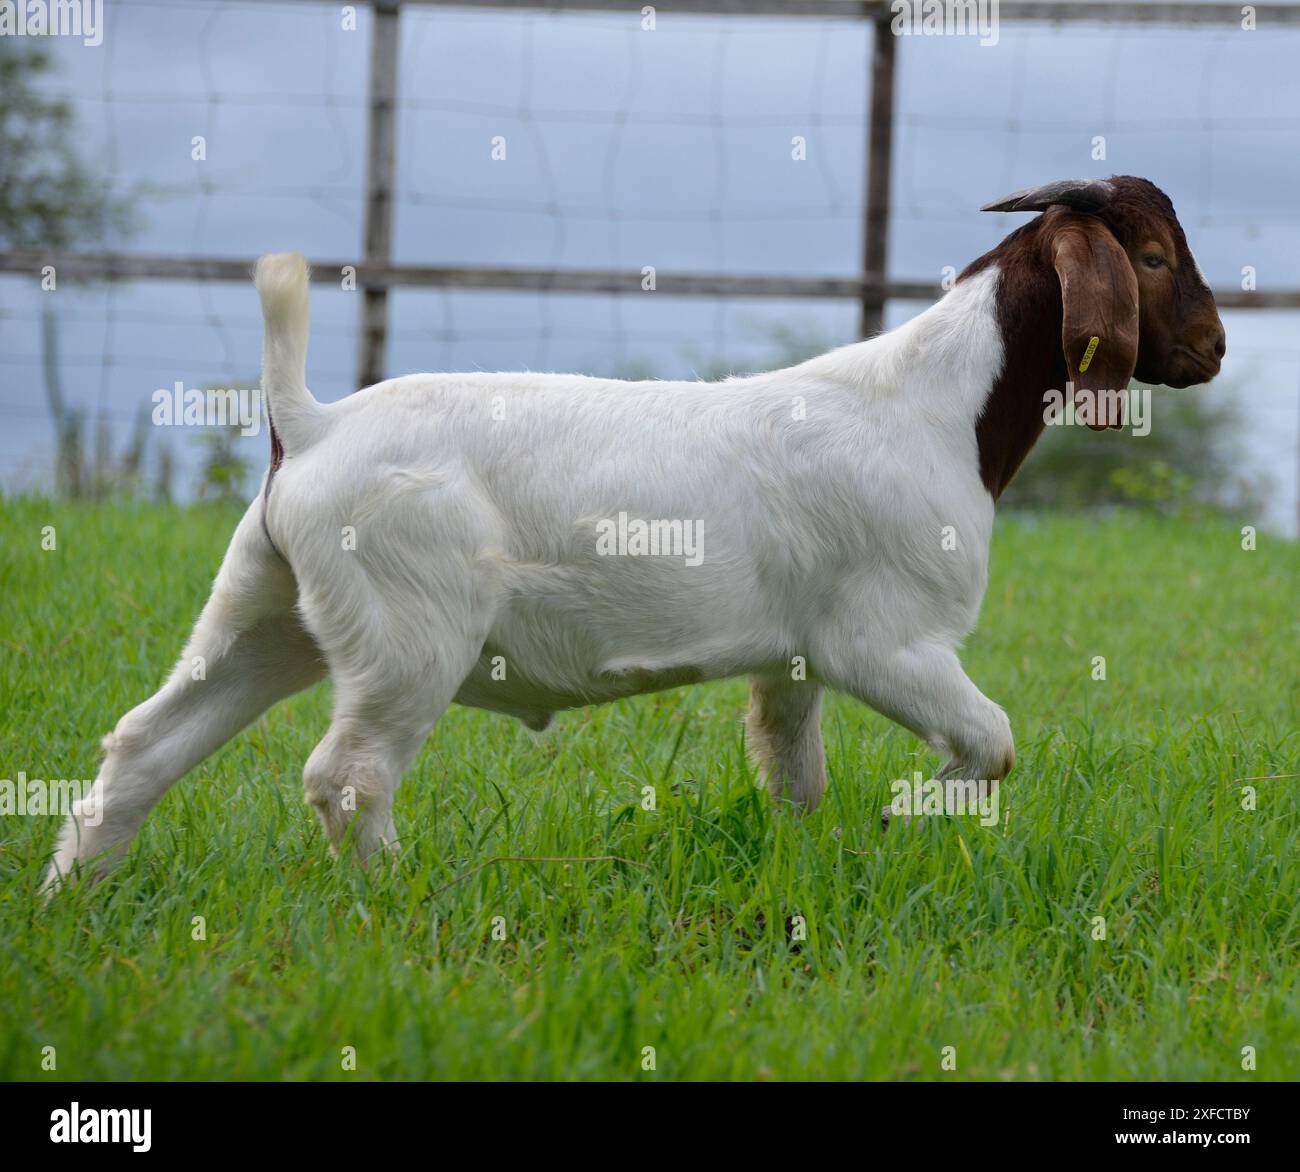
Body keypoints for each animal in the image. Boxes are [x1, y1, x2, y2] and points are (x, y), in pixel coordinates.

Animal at [45, 175, 1225, 889]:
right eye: (1154, 256)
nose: (1213, 348)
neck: (936, 406)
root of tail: (314, 422)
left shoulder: (795, 658)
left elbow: (793, 773)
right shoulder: (885, 641)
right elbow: (990, 740)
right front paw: (904, 820)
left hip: (266, 610)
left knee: (144, 744)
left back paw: (74, 894)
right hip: (406, 631)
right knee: (350, 773)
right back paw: (396, 898)